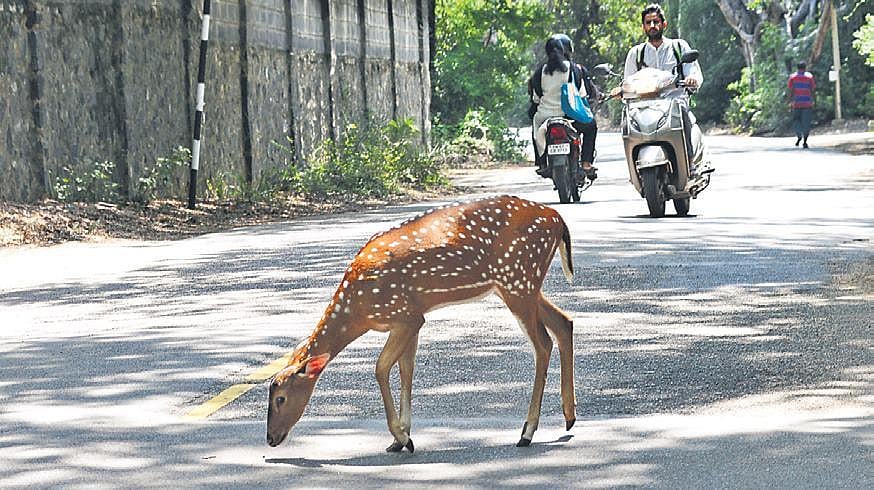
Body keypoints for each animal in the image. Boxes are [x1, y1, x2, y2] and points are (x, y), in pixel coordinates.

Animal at [267, 195, 576, 452]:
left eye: (280, 397)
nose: (270, 438)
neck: (359, 309)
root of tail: (557, 219)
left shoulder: (405, 315)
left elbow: (381, 368)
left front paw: (402, 437)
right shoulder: (410, 319)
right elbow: (406, 371)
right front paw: (401, 438)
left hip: (518, 279)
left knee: (543, 344)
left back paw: (527, 432)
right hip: (521, 285)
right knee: (564, 322)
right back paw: (569, 416)